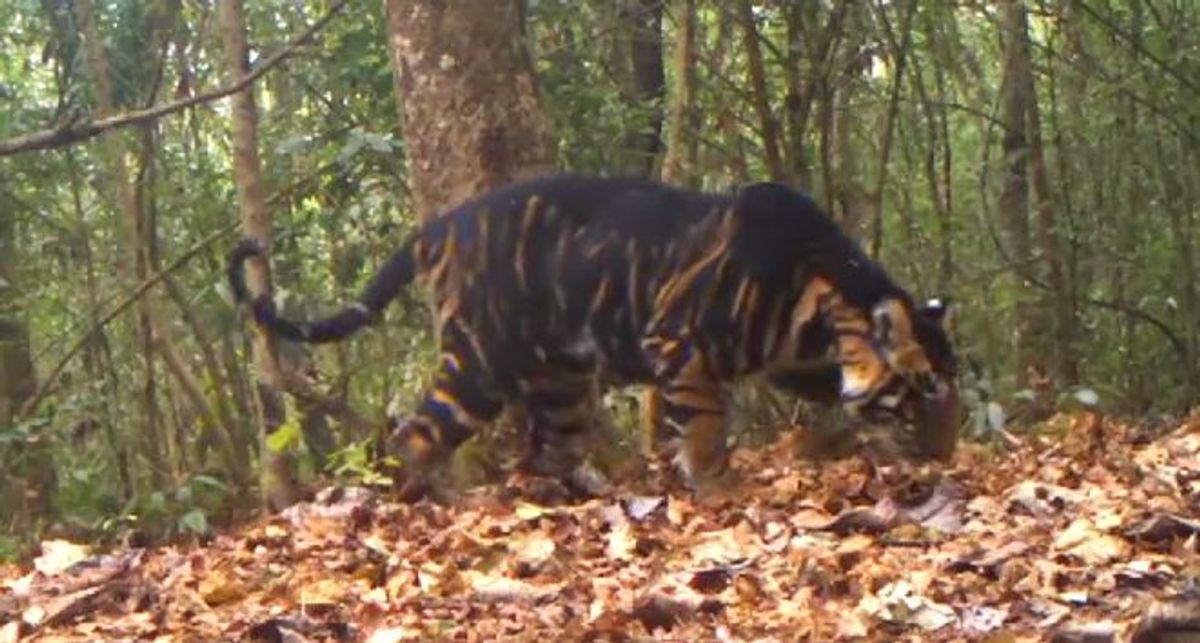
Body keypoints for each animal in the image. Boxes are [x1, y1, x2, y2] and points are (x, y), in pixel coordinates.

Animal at [227, 174, 959, 498]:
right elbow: (704, 425)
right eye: (925, 389)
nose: (948, 453)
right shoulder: (679, 342)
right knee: (416, 432)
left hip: (563, 381)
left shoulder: (787, 361)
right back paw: (433, 501)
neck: (825, 298)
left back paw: (576, 496)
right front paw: (718, 489)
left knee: (547, 450)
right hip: (478, 365)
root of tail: (434, 229)